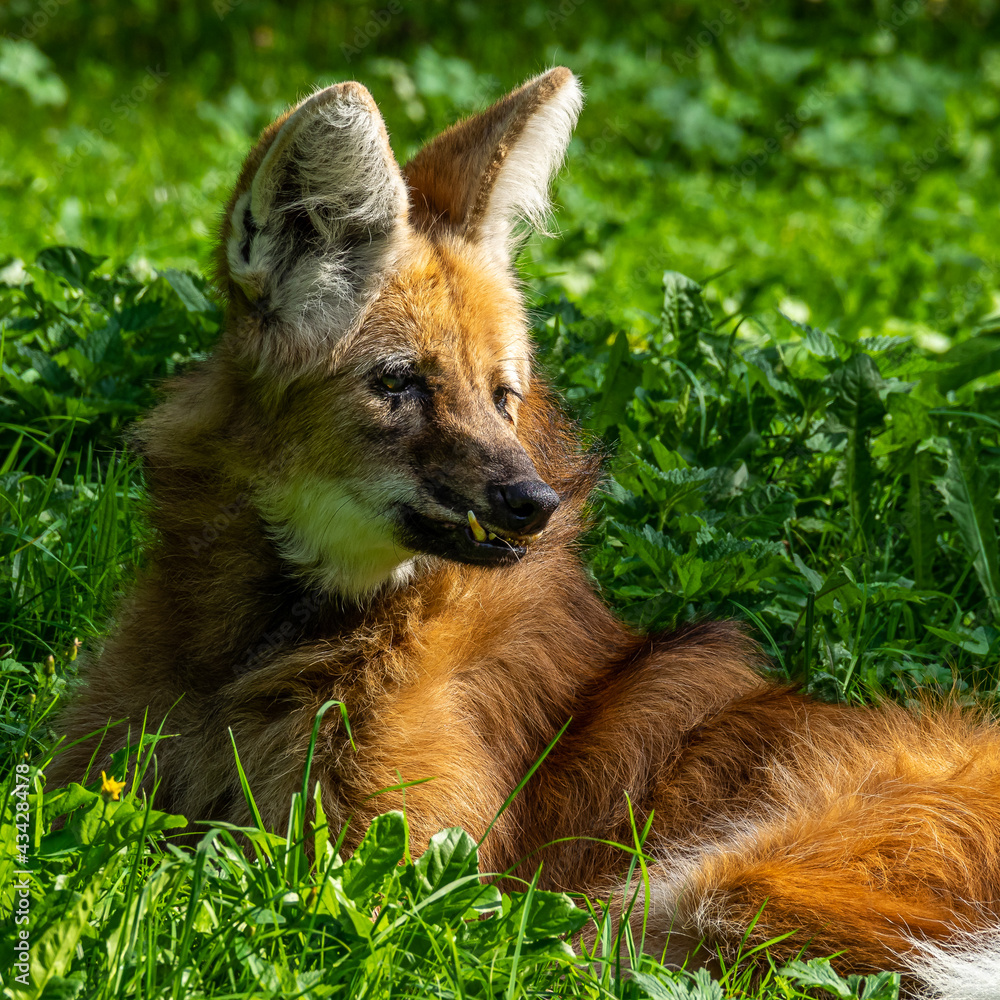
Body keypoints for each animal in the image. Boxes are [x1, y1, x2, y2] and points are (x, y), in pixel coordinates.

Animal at [49, 69, 1000, 993]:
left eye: (501, 395)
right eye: (399, 383)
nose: (530, 501)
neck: (256, 647)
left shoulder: (393, 874)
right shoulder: (97, 773)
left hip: (711, 890)